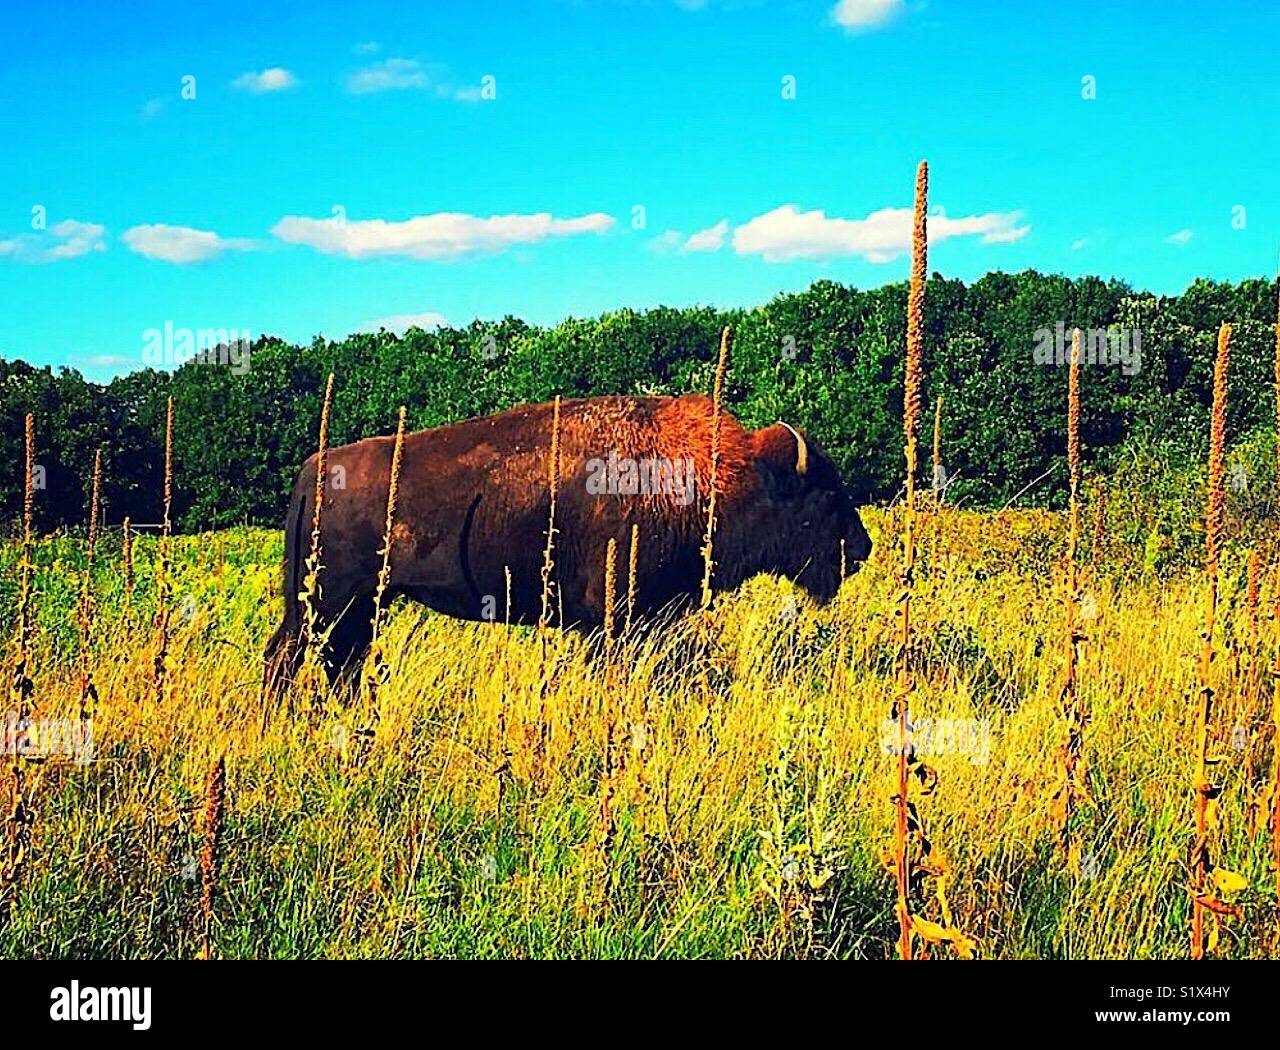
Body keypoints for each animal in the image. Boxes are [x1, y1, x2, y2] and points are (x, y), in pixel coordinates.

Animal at [264, 394, 871, 694]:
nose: (861, 548)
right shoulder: (613, 619)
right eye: (825, 492)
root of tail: (314, 468)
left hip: (361, 605)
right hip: (328, 602)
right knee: (288, 658)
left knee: (337, 661)